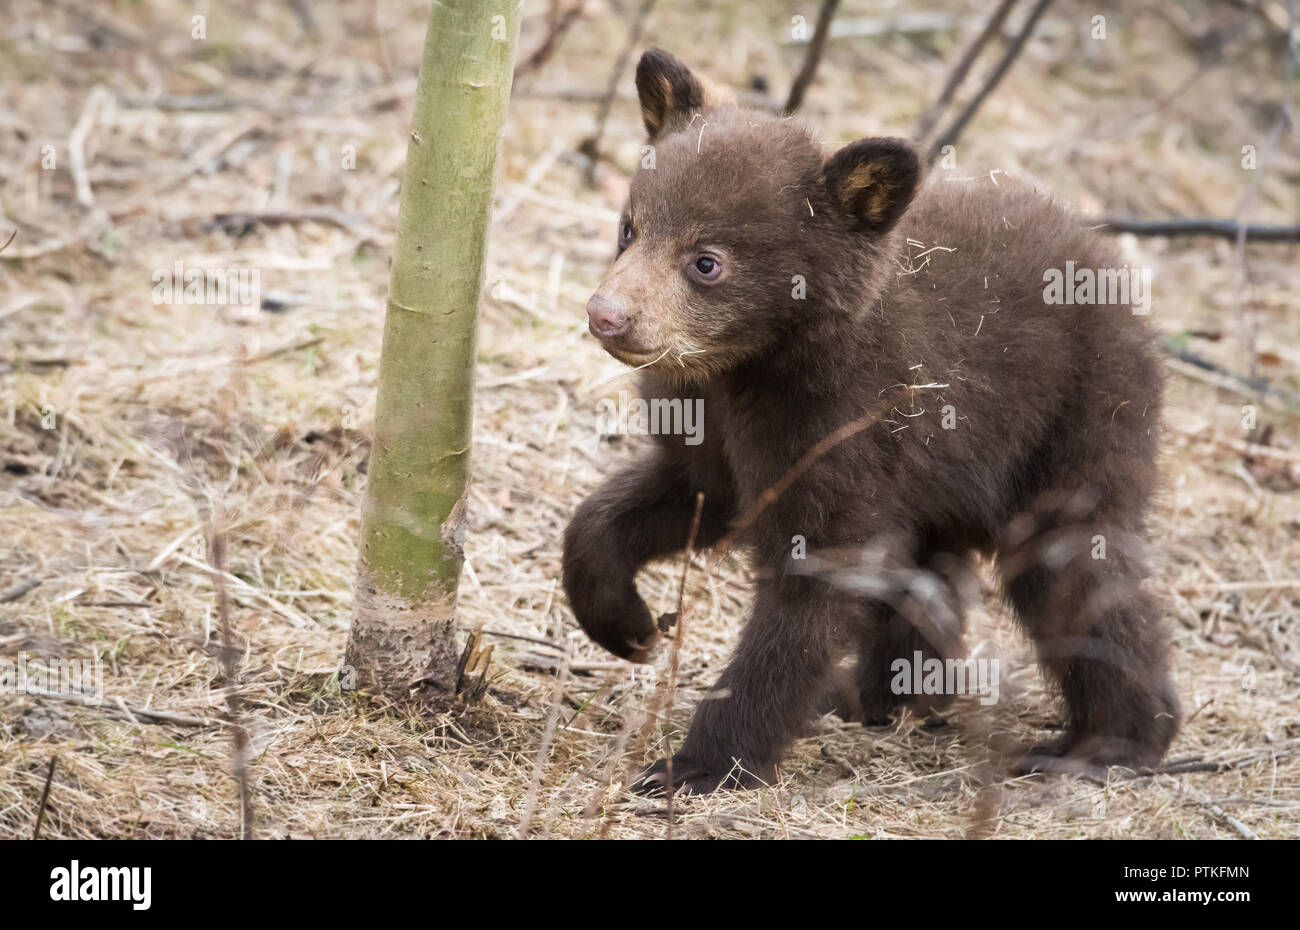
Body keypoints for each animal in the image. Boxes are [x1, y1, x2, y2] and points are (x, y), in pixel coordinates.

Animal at [562, 49, 1180, 794]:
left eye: (707, 262)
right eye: (630, 227)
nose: (606, 314)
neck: (749, 369)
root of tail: (1118, 279)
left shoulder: (839, 428)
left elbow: (815, 584)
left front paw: (700, 763)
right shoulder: (713, 440)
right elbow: (645, 505)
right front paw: (627, 623)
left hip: (1078, 424)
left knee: (1076, 571)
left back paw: (1108, 743)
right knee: (929, 570)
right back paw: (875, 696)